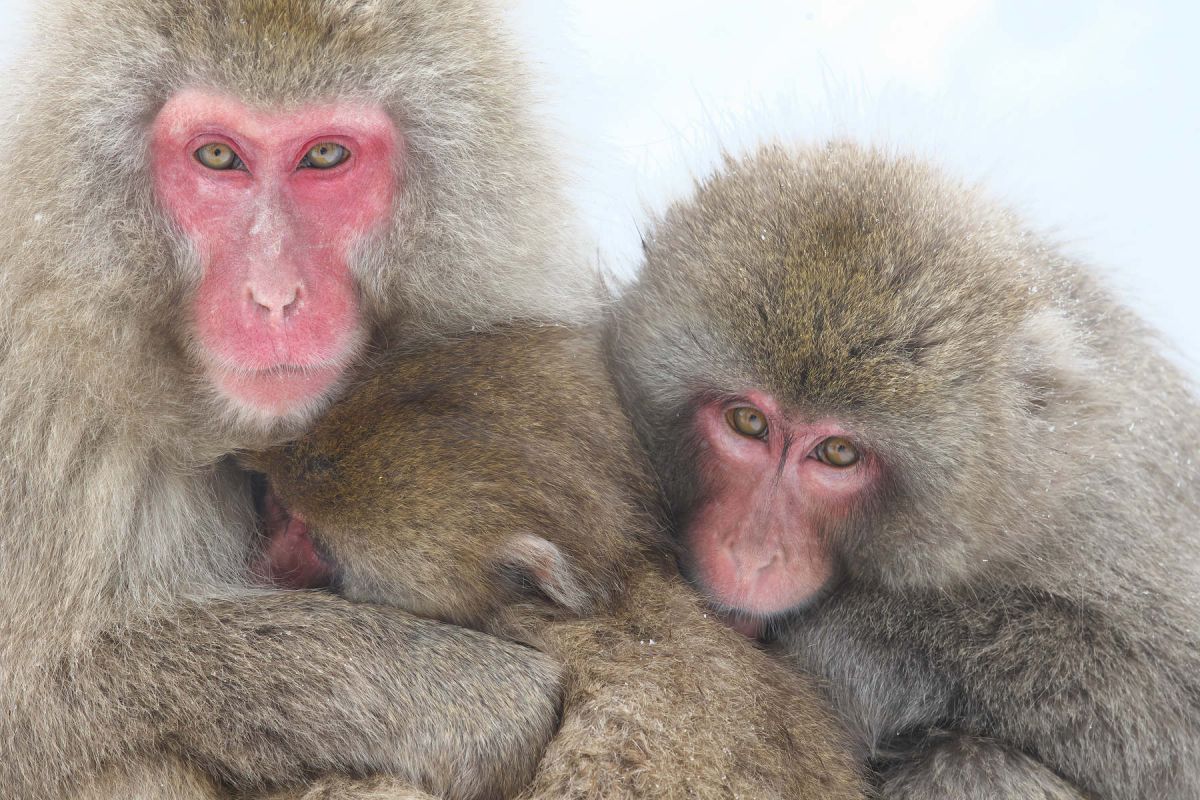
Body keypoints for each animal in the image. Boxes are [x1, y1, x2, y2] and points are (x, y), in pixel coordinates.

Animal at [0, 1, 606, 798]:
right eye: (217, 156)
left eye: (323, 157)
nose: (274, 295)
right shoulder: (50, 424)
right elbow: (42, 689)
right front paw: (477, 700)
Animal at [606, 141, 1200, 799]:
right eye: (748, 421)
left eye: (838, 453)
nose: (752, 553)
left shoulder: (1108, 518)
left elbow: (1170, 719)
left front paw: (853, 649)